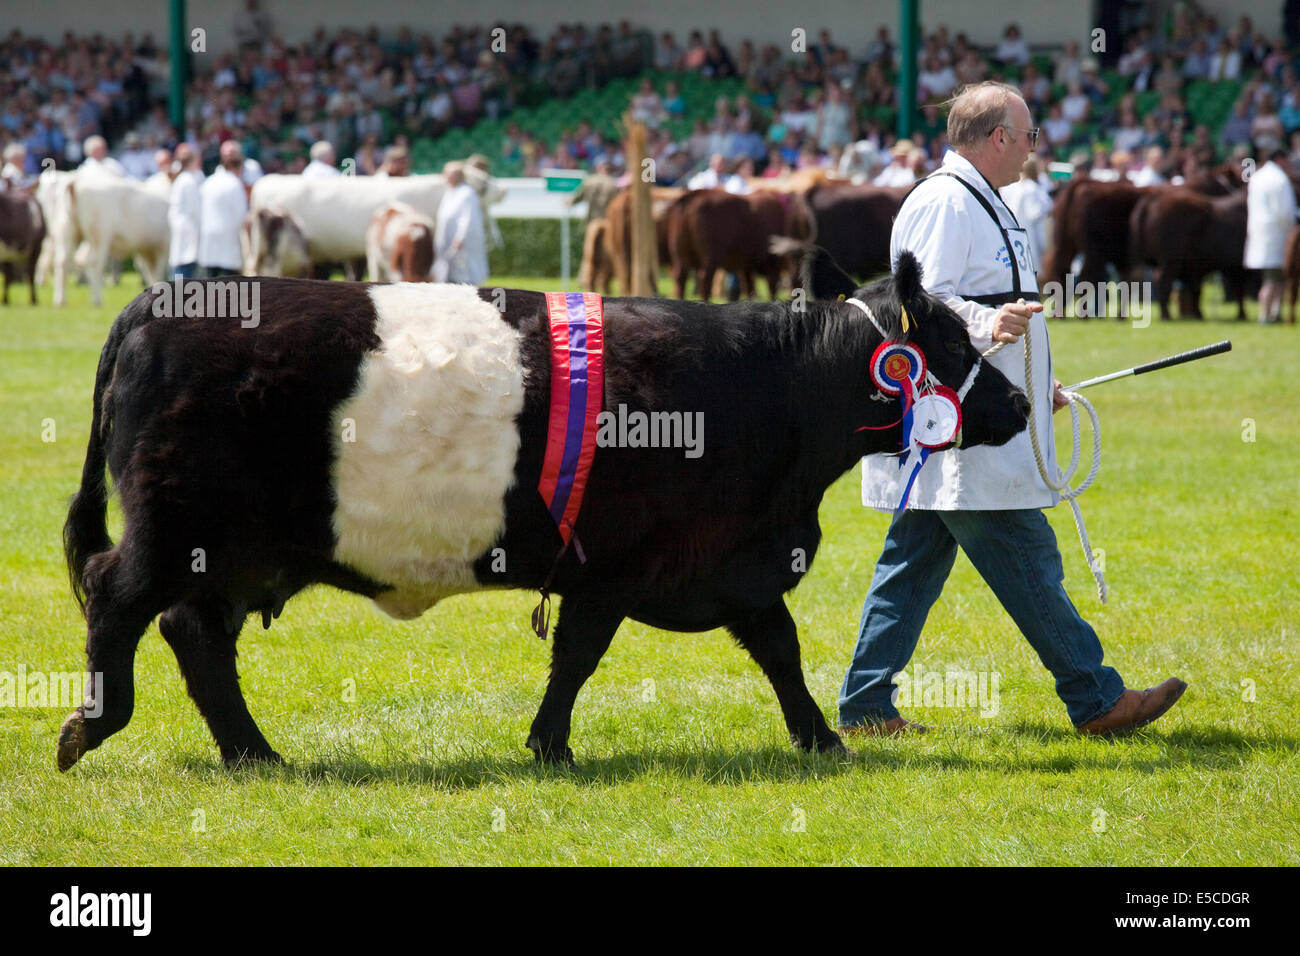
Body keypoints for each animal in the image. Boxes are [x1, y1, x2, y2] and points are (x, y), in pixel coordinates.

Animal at [57, 253, 1029, 772]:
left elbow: (780, 651)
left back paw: (254, 753)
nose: (1020, 405)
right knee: (117, 597)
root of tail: (160, 300)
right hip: (175, 529)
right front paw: (550, 745)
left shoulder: (732, 562)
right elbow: (580, 656)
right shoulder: (615, 562)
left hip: (225, 553)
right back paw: (93, 726)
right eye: (950, 342)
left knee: (195, 636)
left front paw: (821, 738)